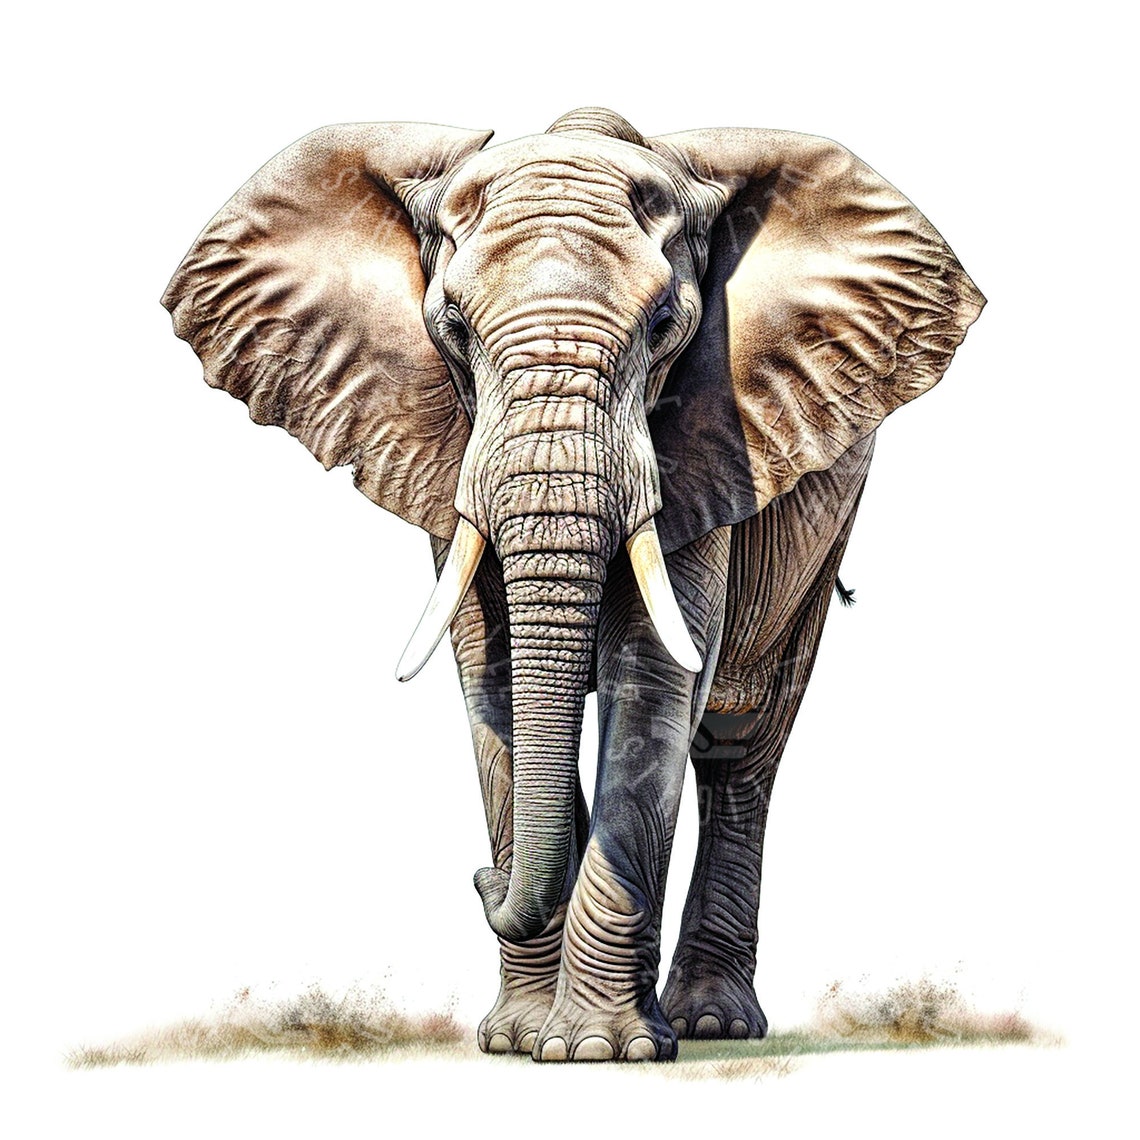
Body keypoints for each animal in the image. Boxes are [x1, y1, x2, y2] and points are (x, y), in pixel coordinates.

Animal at [162, 107, 984, 1062]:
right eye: (452, 325)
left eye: (665, 324)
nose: (482, 877)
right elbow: (491, 677)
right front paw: (521, 1040)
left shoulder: (710, 438)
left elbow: (653, 678)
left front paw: (598, 1049)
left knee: (745, 746)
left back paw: (710, 1023)